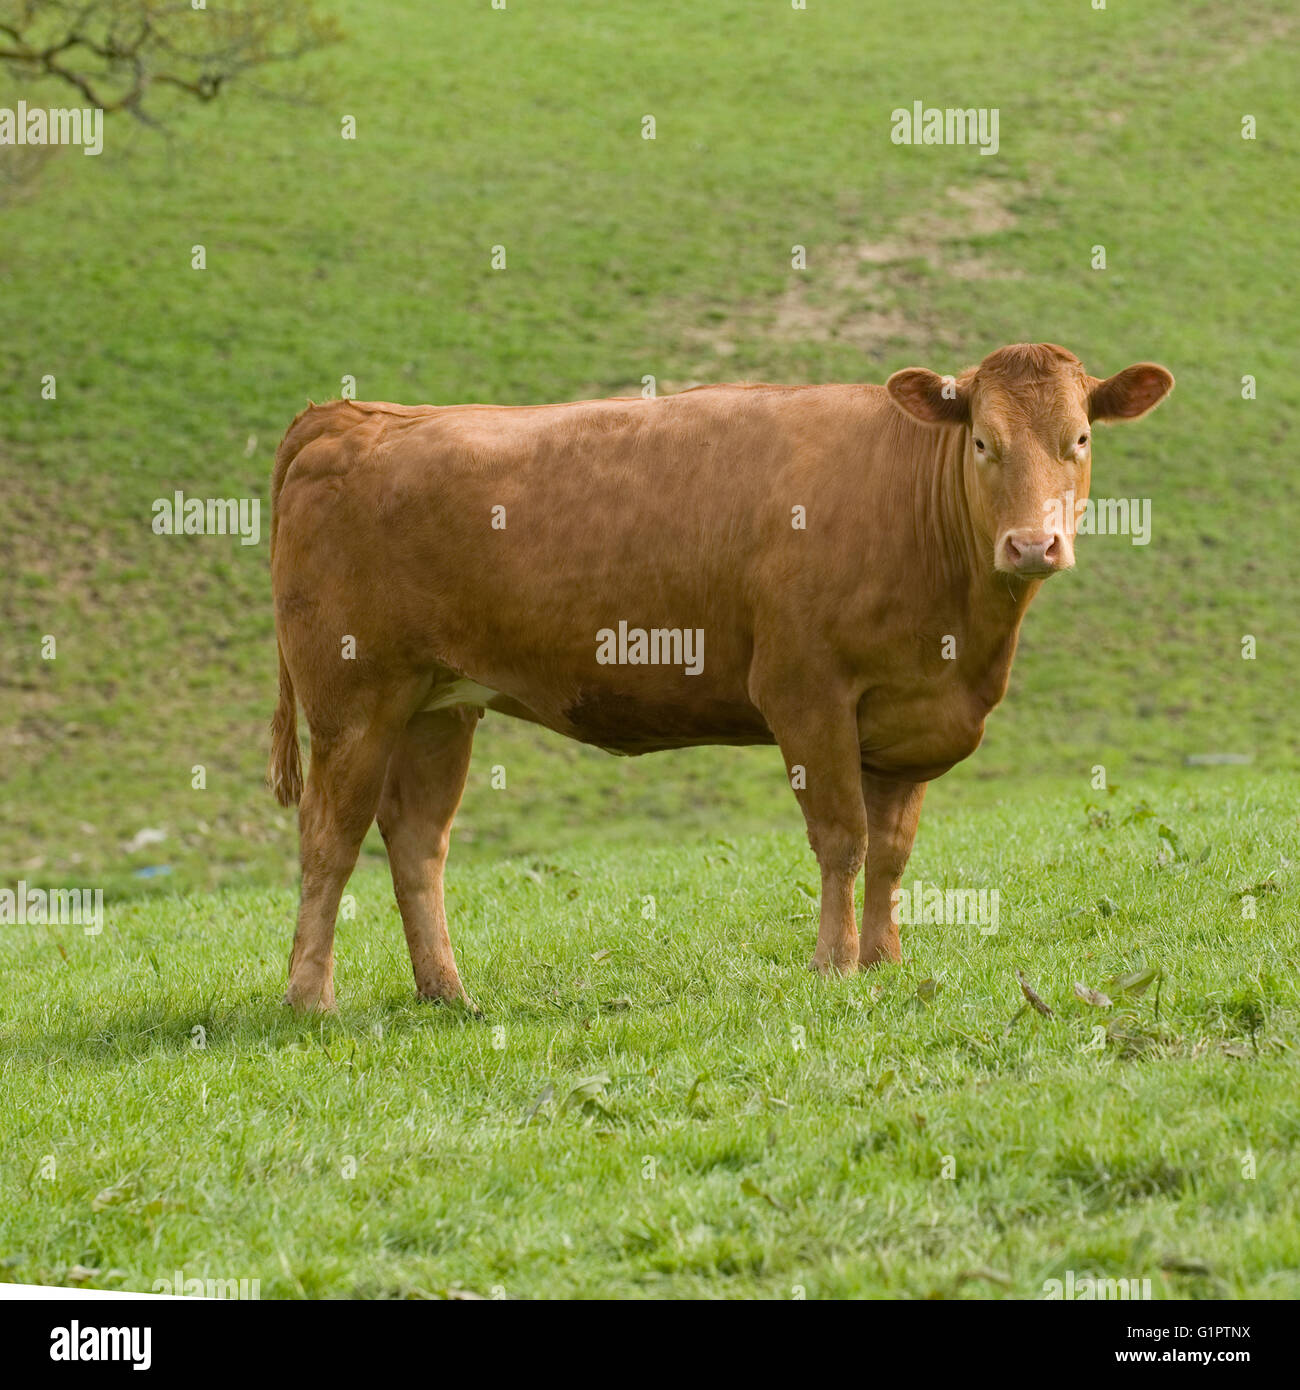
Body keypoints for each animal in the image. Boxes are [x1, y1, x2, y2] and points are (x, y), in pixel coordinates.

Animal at [268, 343, 1173, 1011]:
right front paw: (833, 966)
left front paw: (883, 960)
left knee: (418, 841)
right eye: (983, 442)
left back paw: (447, 993)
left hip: (437, 704)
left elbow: (890, 850)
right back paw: (312, 1000)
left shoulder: (906, 715)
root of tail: (353, 417)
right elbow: (842, 839)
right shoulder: (805, 691)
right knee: (329, 838)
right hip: (353, 700)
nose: (1032, 545)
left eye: (1079, 440)